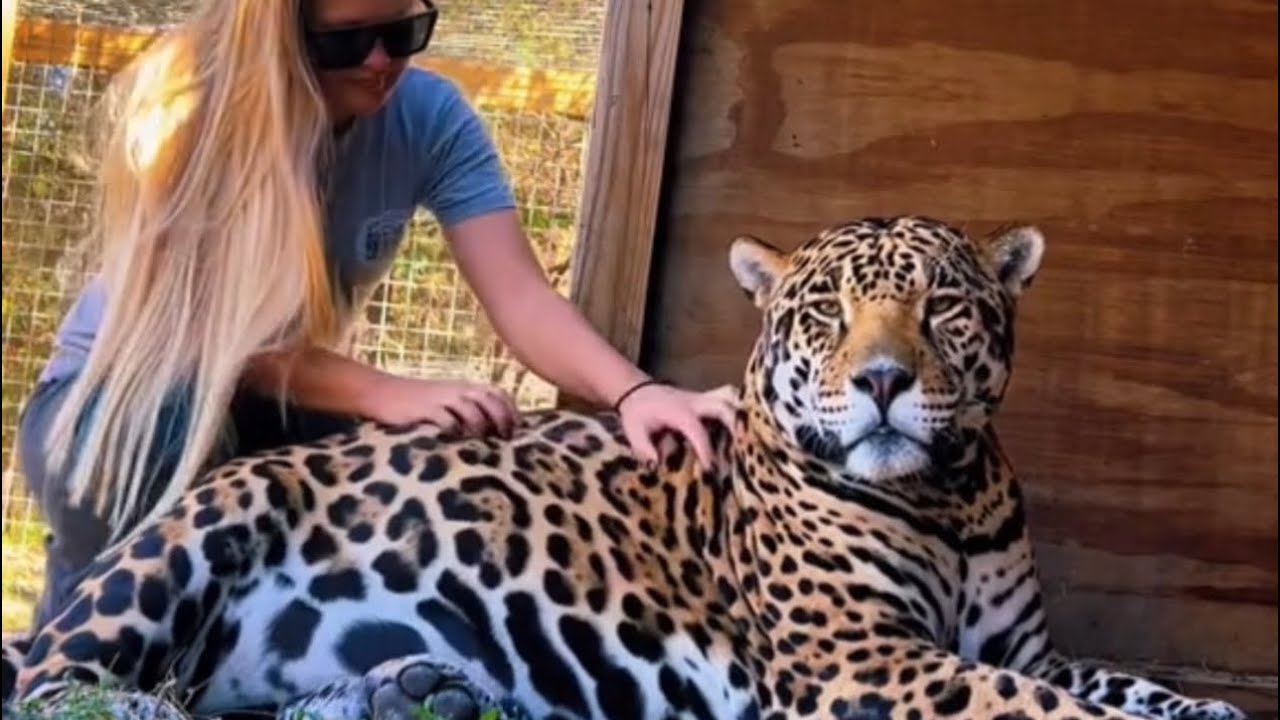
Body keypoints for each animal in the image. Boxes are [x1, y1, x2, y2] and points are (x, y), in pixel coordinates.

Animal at [1, 215, 1249, 720]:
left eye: (942, 306)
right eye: (824, 315)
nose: (885, 381)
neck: (945, 493)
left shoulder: (1016, 646)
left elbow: (1104, 682)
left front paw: (1199, 707)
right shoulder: (855, 659)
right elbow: (1039, 707)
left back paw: (410, 689)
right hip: (207, 522)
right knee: (66, 688)